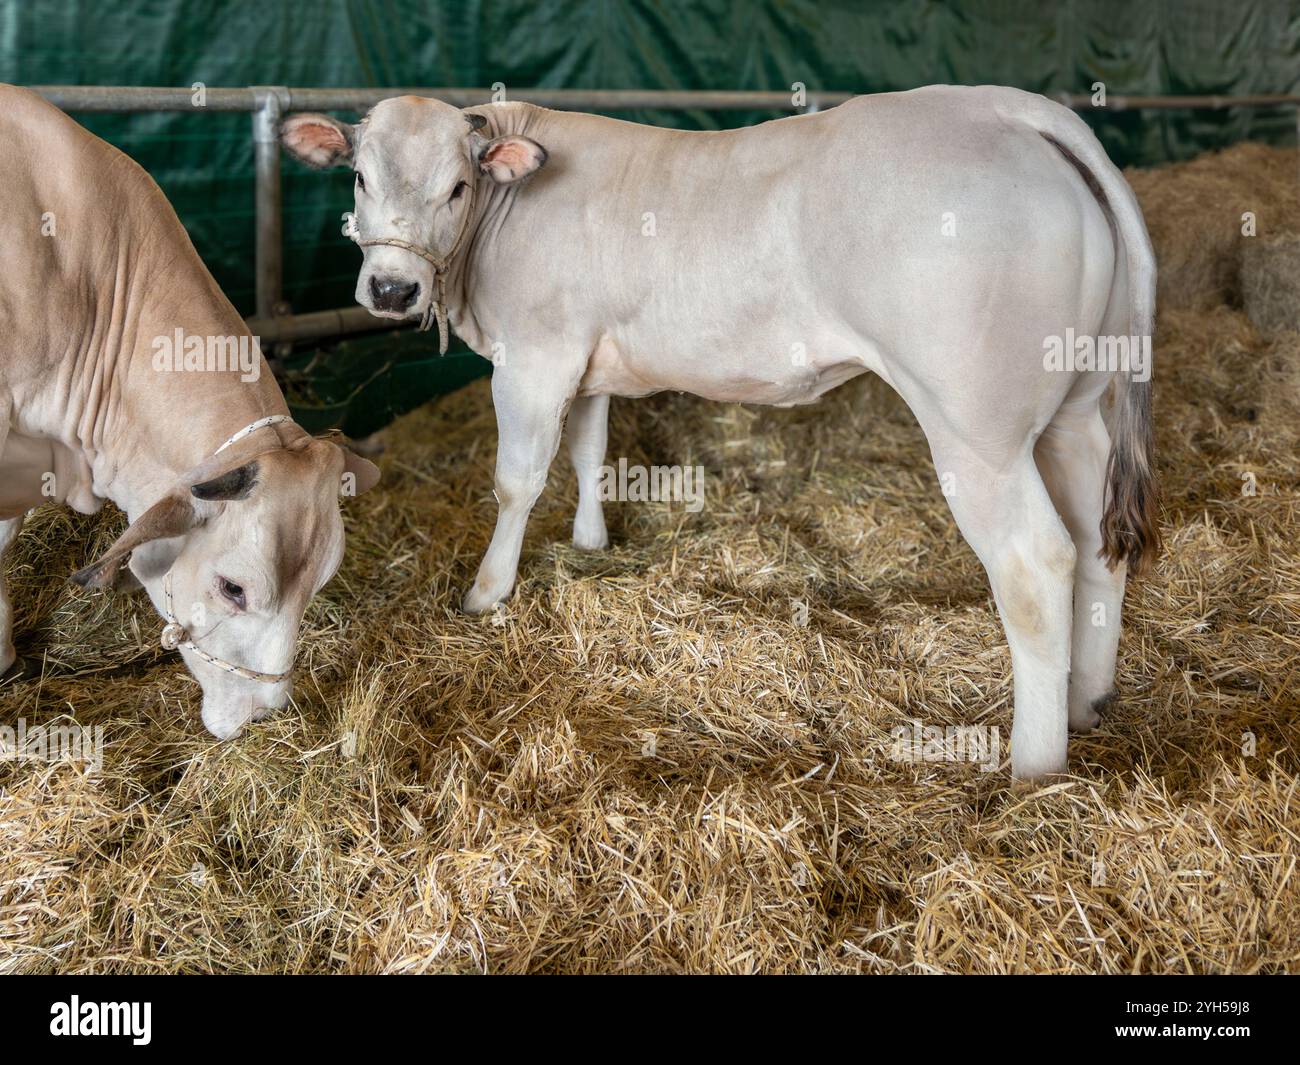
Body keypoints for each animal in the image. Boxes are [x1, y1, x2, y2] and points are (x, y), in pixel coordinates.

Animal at [280, 85, 1159, 778]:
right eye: (359, 175)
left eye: (458, 185)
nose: (392, 289)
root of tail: (1002, 105)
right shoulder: (589, 360)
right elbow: (591, 452)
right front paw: (592, 542)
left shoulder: (536, 354)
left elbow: (517, 479)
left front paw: (487, 593)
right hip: (1075, 410)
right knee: (1097, 542)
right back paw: (1089, 700)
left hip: (978, 431)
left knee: (1036, 563)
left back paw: (1032, 769)